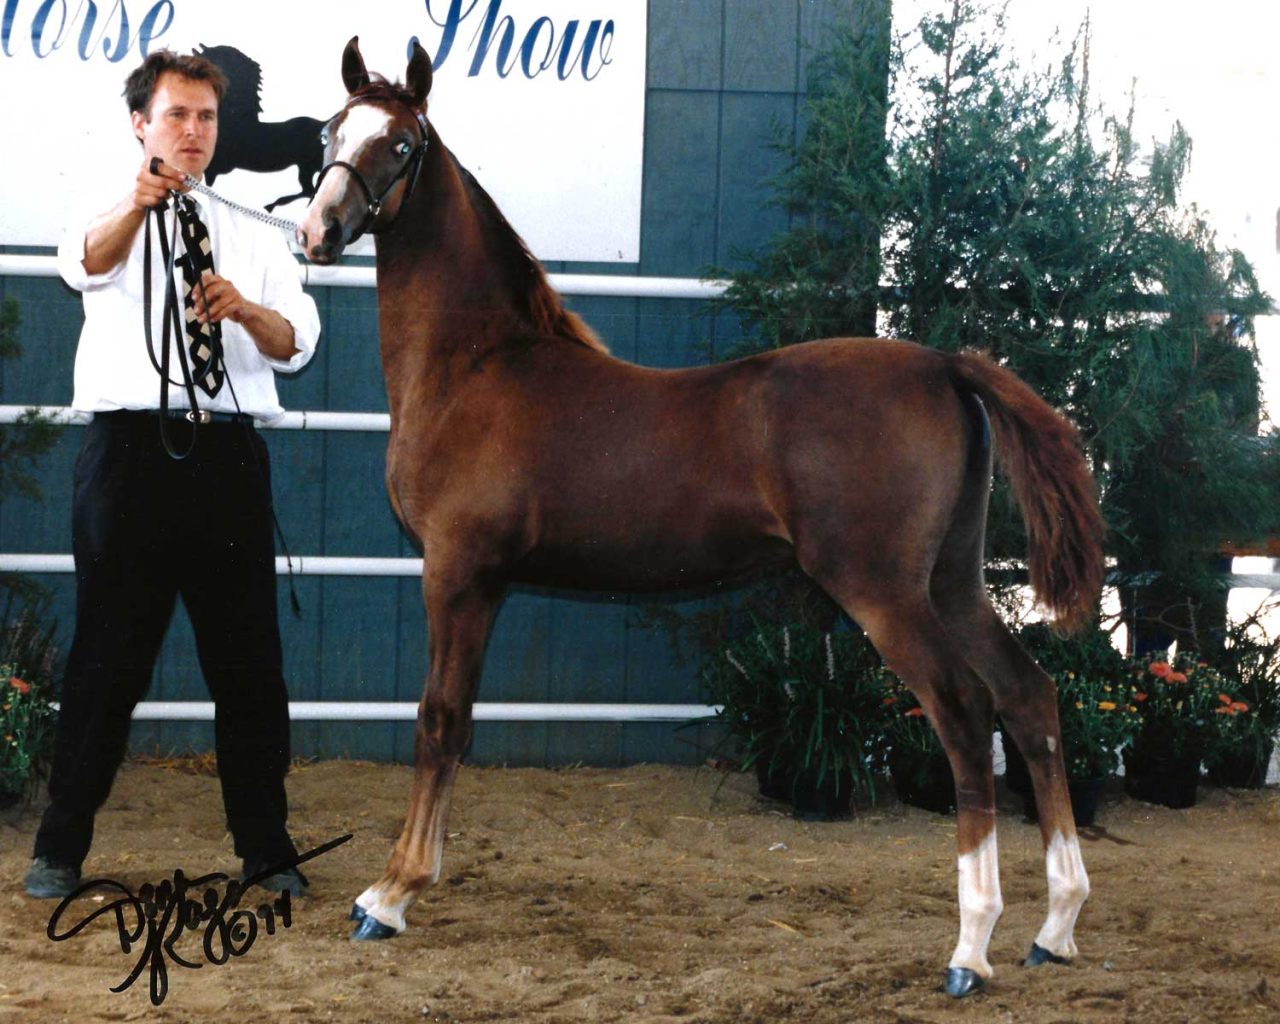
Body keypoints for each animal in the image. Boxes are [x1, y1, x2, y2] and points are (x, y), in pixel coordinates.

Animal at [297, 38, 1106, 998]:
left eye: (402, 143)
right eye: (331, 129)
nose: (316, 232)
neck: (476, 366)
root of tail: (944, 365)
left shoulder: (460, 575)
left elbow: (439, 721)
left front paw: (390, 895)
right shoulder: (479, 582)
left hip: (886, 597)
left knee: (963, 715)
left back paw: (970, 946)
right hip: (953, 585)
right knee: (1029, 697)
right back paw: (1054, 927)